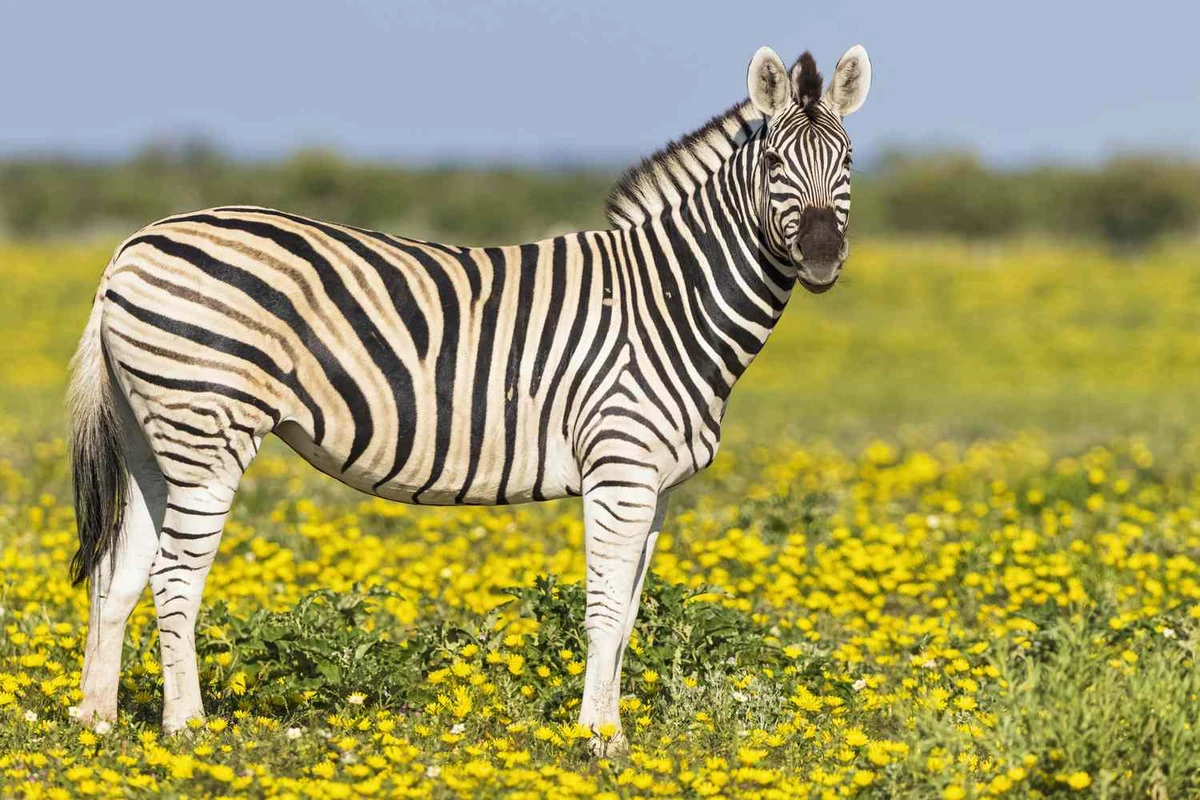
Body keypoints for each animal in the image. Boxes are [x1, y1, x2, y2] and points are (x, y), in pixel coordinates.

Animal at [69, 44, 870, 751]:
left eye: (850, 163)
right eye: (775, 166)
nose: (822, 258)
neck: (668, 301)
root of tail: (130, 248)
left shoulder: (658, 485)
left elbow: (630, 613)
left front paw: (612, 732)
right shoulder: (620, 468)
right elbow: (605, 609)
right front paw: (597, 738)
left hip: (154, 438)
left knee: (119, 571)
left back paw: (98, 725)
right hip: (207, 427)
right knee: (174, 578)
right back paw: (187, 730)